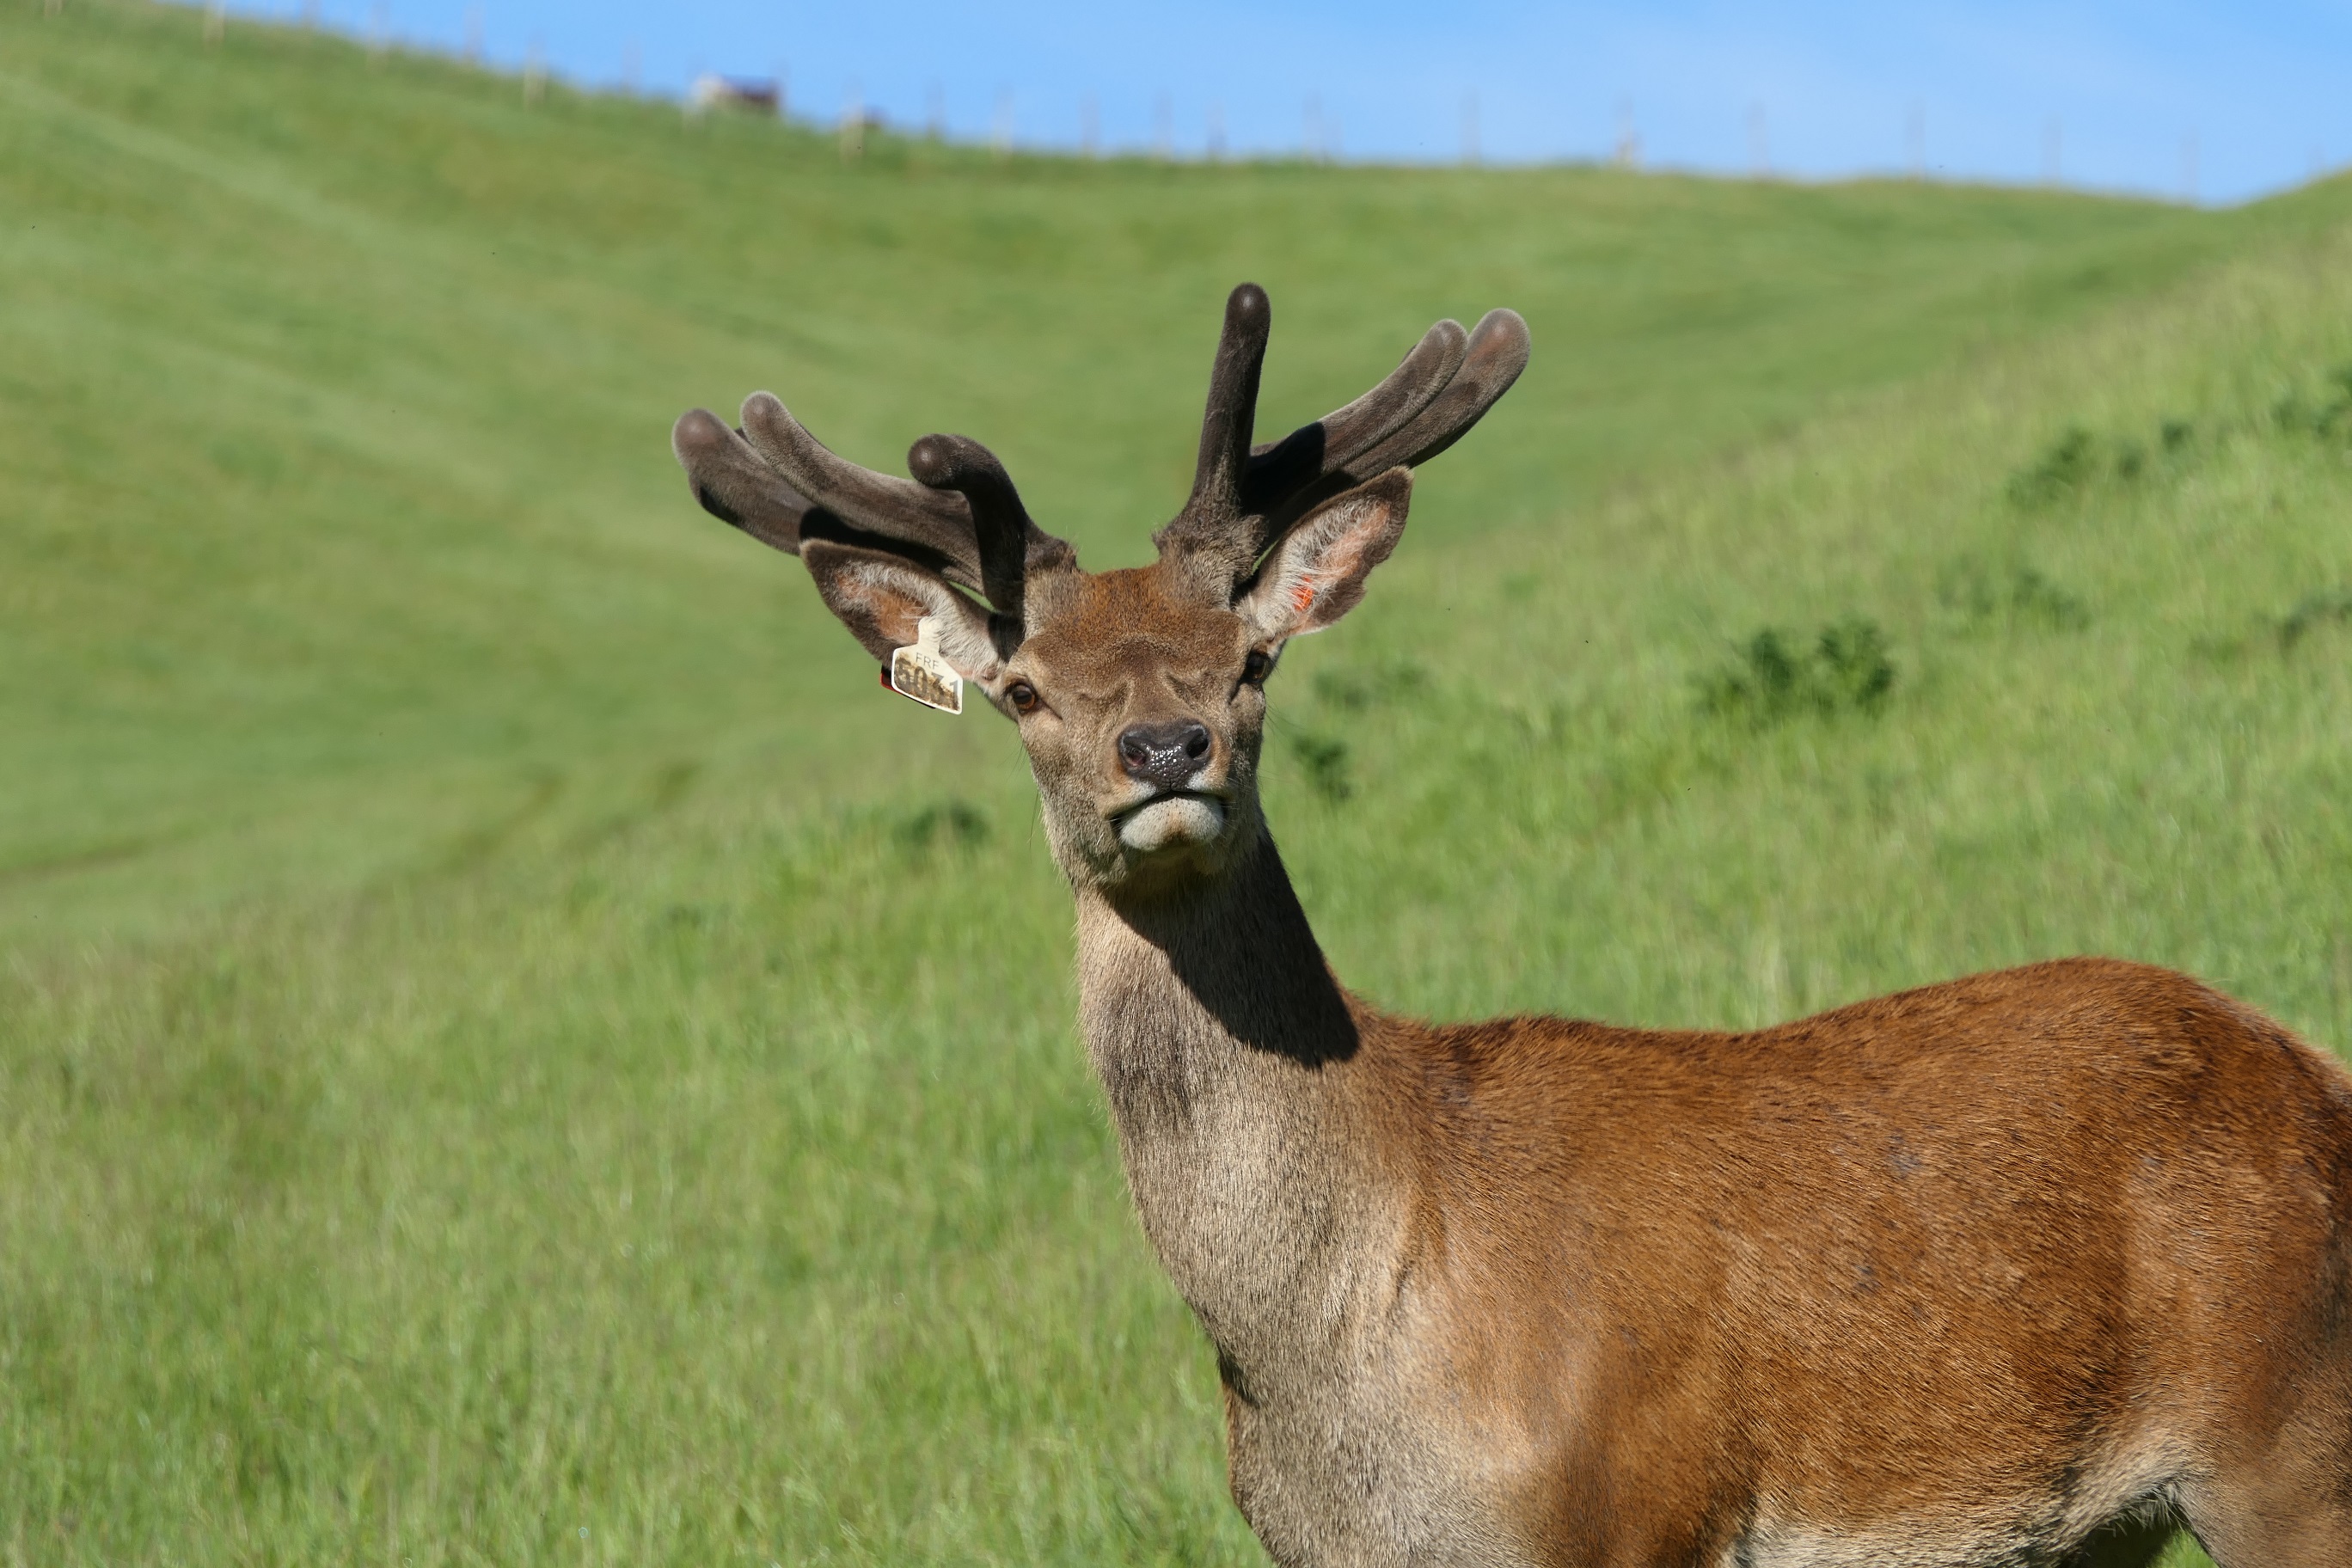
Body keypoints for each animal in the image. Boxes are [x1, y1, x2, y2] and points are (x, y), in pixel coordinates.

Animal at [671, 284, 2352, 1568]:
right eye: (1024, 692)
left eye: (1252, 658)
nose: (1165, 749)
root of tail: (2316, 1077)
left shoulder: (1626, 1510)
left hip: (2287, 1441)